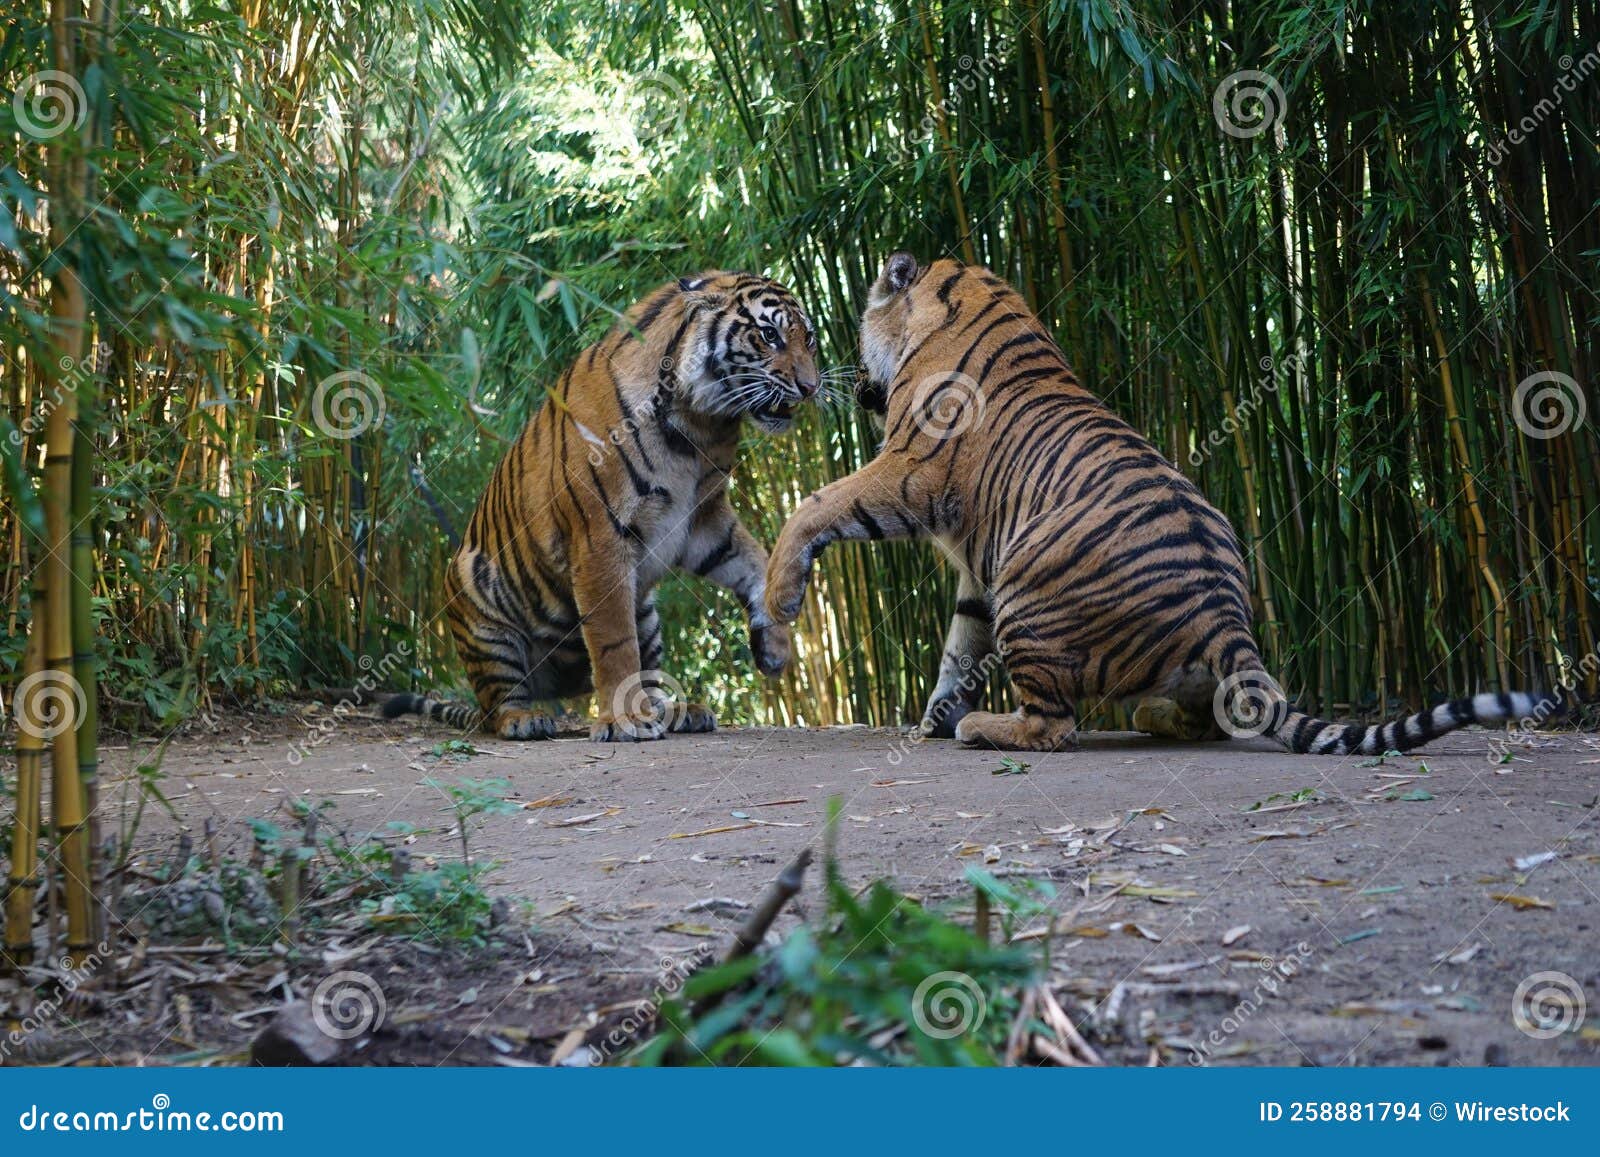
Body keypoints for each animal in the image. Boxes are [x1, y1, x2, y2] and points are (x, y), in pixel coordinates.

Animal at [384, 271, 820, 742]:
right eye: (770, 335)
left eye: (810, 338)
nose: (811, 387)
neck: (699, 424)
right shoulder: (601, 534)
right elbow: (614, 641)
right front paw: (624, 721)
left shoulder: (702, 519)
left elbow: (756, 560)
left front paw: (776, 642)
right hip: (476, 594)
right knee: (496, 704)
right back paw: (526, 719)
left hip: (648, 613)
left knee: (650, 676)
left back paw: (678, 711)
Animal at [763, 253, 1556, 754]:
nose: (848, 379)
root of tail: (1224, 609)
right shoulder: (974, 561)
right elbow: (961, 640)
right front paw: (934, 713)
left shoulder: (908, 472)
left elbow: (816, 502)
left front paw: (781, 595)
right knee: (1209, 715)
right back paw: (1152, 714)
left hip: (1027, 580)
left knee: (1055, 725)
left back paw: (985, 727)